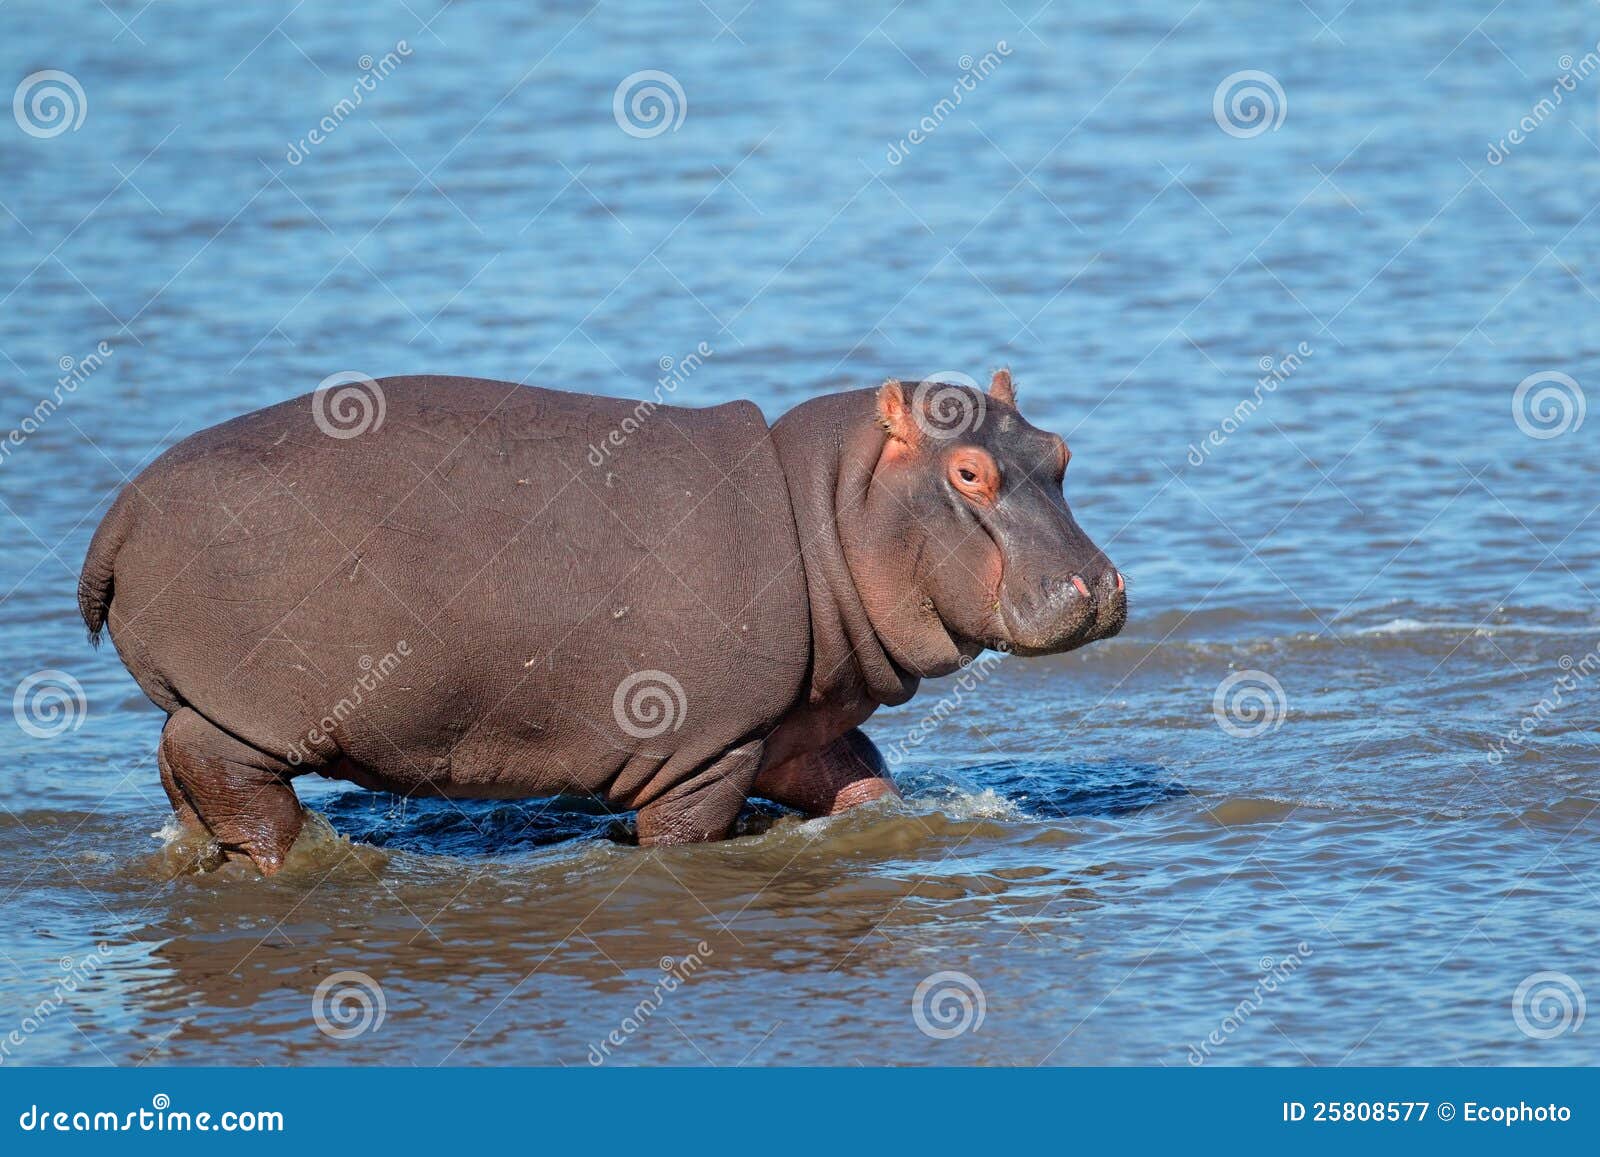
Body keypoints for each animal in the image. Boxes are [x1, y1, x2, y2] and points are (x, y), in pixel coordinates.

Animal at [78, 369, 1125, 874]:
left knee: (177, 770)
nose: (1100, 585)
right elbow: (684, 835)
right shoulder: (706, 748)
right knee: (226, 776)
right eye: (968, 472)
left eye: (1061, 449)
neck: (829, 506)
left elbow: (865, 786)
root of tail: (118, 512)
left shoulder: (791, 726)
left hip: (200, 704)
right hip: (254, 714)